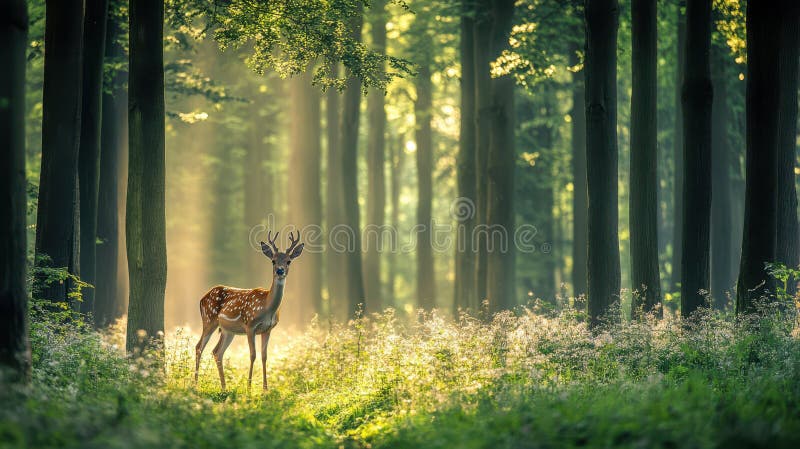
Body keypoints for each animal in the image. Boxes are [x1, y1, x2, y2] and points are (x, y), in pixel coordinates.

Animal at [194, 230, 304, 390]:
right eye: (273, 260)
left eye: (289, 261)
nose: (280, 270)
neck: (267, 307)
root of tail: (202, 298)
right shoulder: (249, 325)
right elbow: (253, 355)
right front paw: (249, 387)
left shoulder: (268, 329)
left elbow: (265, 356)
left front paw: (265, 389)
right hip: (209, 319)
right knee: (199, 347)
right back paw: (195, 384)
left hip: (228, 330)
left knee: (217, 352)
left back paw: (224, 387)